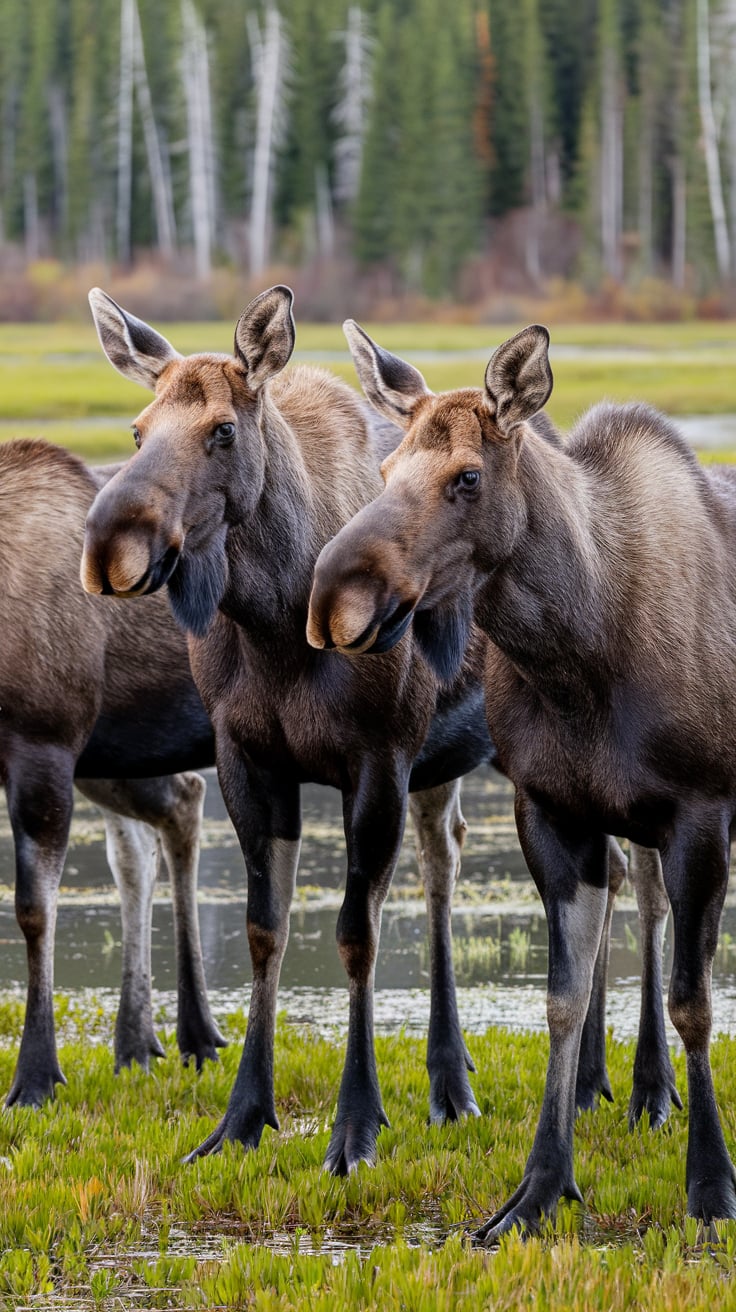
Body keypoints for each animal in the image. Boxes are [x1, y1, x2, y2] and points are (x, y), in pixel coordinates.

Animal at [305, 320, 732, 1235]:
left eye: (467, 477)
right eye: (385, 472)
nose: (332, 598)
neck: (581, 655)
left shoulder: (701, 812)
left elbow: (695, 1000)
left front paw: (712, 1185)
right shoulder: (550, 811)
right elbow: (560, 1001)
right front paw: (538, 1189)